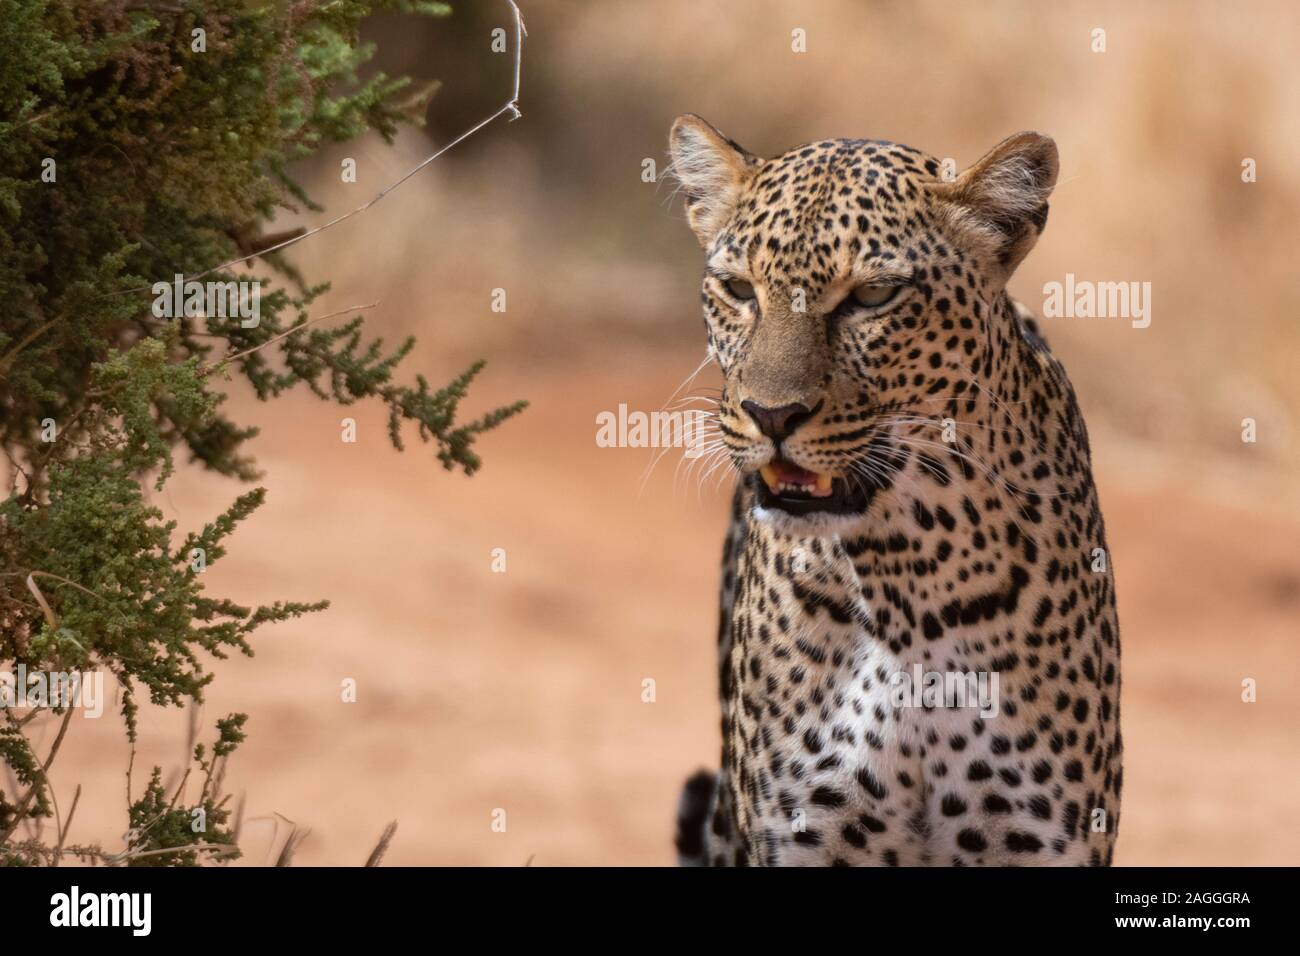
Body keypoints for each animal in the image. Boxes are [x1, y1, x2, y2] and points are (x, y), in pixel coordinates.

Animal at [667, 114, 1122, 867]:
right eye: (738, 289)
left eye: (873, 296)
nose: (770, 415)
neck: (904, 573)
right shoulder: (804, 836)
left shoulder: (1042, 841)